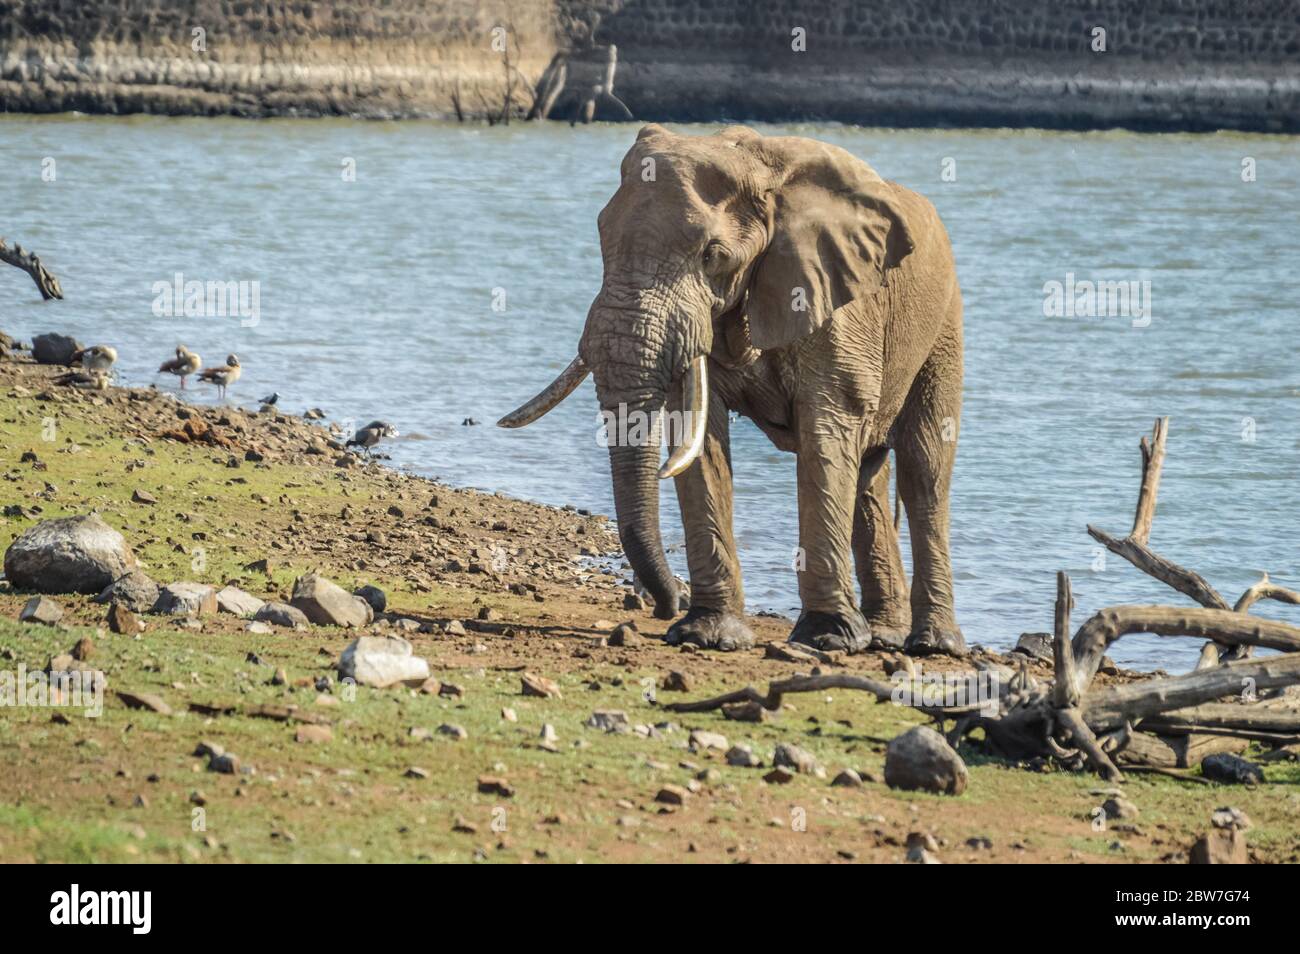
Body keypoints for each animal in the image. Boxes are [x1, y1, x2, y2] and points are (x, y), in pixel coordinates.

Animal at [500, 124, 966, 657]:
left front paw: (825, 638)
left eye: (713, 256)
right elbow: (699, 433)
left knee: (923, 469)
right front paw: (708, 635)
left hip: (944, 324)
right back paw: (884, 635)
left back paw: (933, 645)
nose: (664, 604)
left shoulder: (835, 302)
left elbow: (826, 426)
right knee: (869, 471)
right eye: (600, 236)